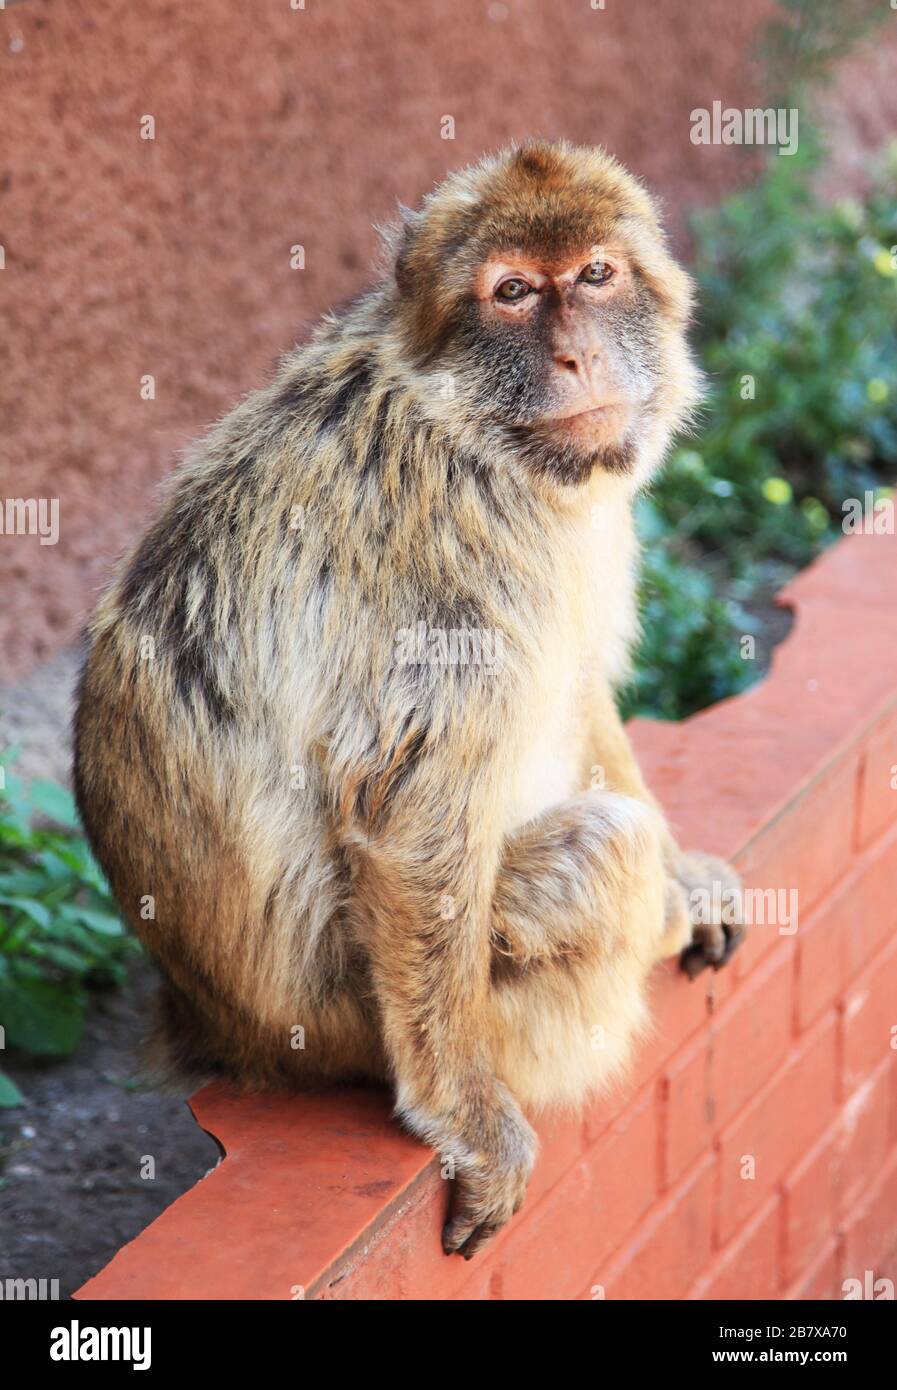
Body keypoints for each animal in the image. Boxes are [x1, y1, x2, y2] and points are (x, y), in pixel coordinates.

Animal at [73, 140, 744, 1260]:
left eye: (595, 276)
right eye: (513, 293)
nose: (576, 357)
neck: (469, 423)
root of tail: (214, 1024)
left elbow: (577, 688)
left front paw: (688, 872)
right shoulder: (456, 539)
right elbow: (410, 819)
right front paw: (467, 1121)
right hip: (368, 1019)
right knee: (600, 854)